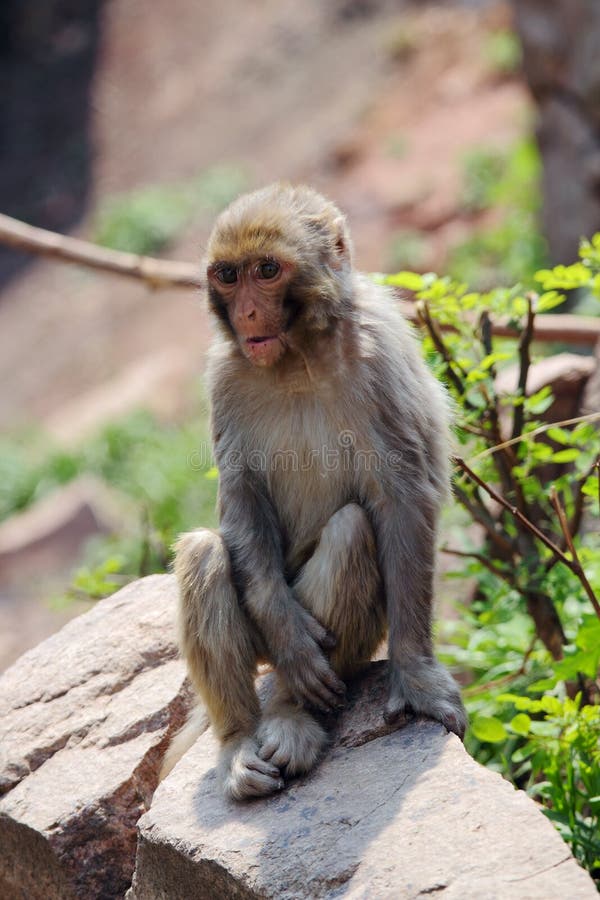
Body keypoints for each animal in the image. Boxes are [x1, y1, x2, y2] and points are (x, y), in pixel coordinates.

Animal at [163, 183, 467, 800]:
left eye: (267, 270)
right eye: (228, 275)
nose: (247, 312)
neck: (298, 359)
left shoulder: (382, 357)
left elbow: (402, 501)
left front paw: (416, 675)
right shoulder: (224, 376)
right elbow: (242, 496)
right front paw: (287, 633)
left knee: (352, 530)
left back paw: (289, 715)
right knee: (206, 552)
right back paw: (240, 740)